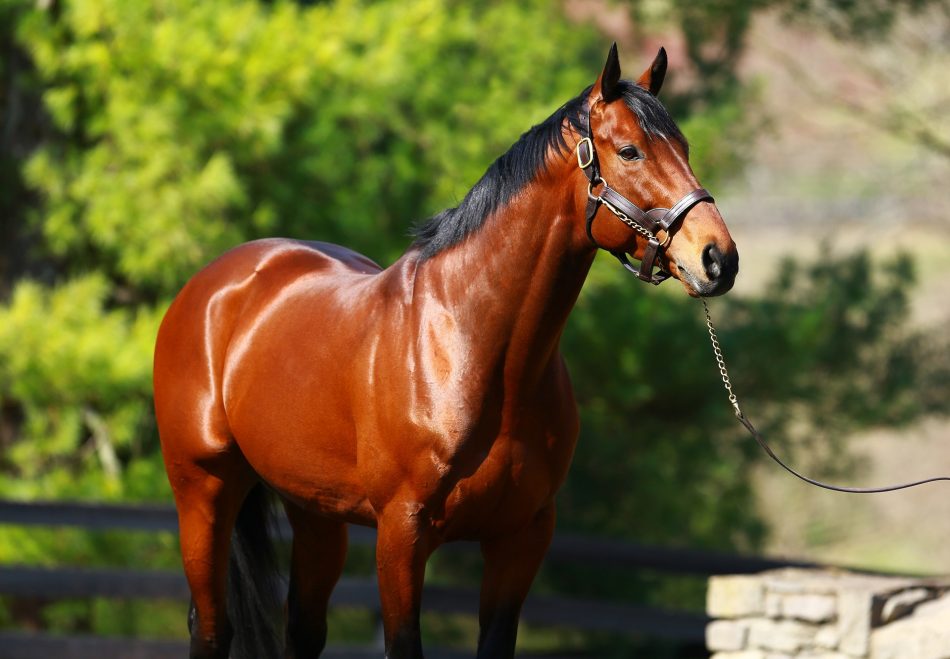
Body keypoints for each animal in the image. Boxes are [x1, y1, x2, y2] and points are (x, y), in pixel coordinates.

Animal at [153, 44, 738, 659]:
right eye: (629, 150)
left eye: (685, 149)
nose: (718, 258)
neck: (475, 350)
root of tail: (215, 284)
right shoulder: (402, 535)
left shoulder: (520, 539)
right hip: (204, 494)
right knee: (212, 628)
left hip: (314, 514)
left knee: (302, 629)